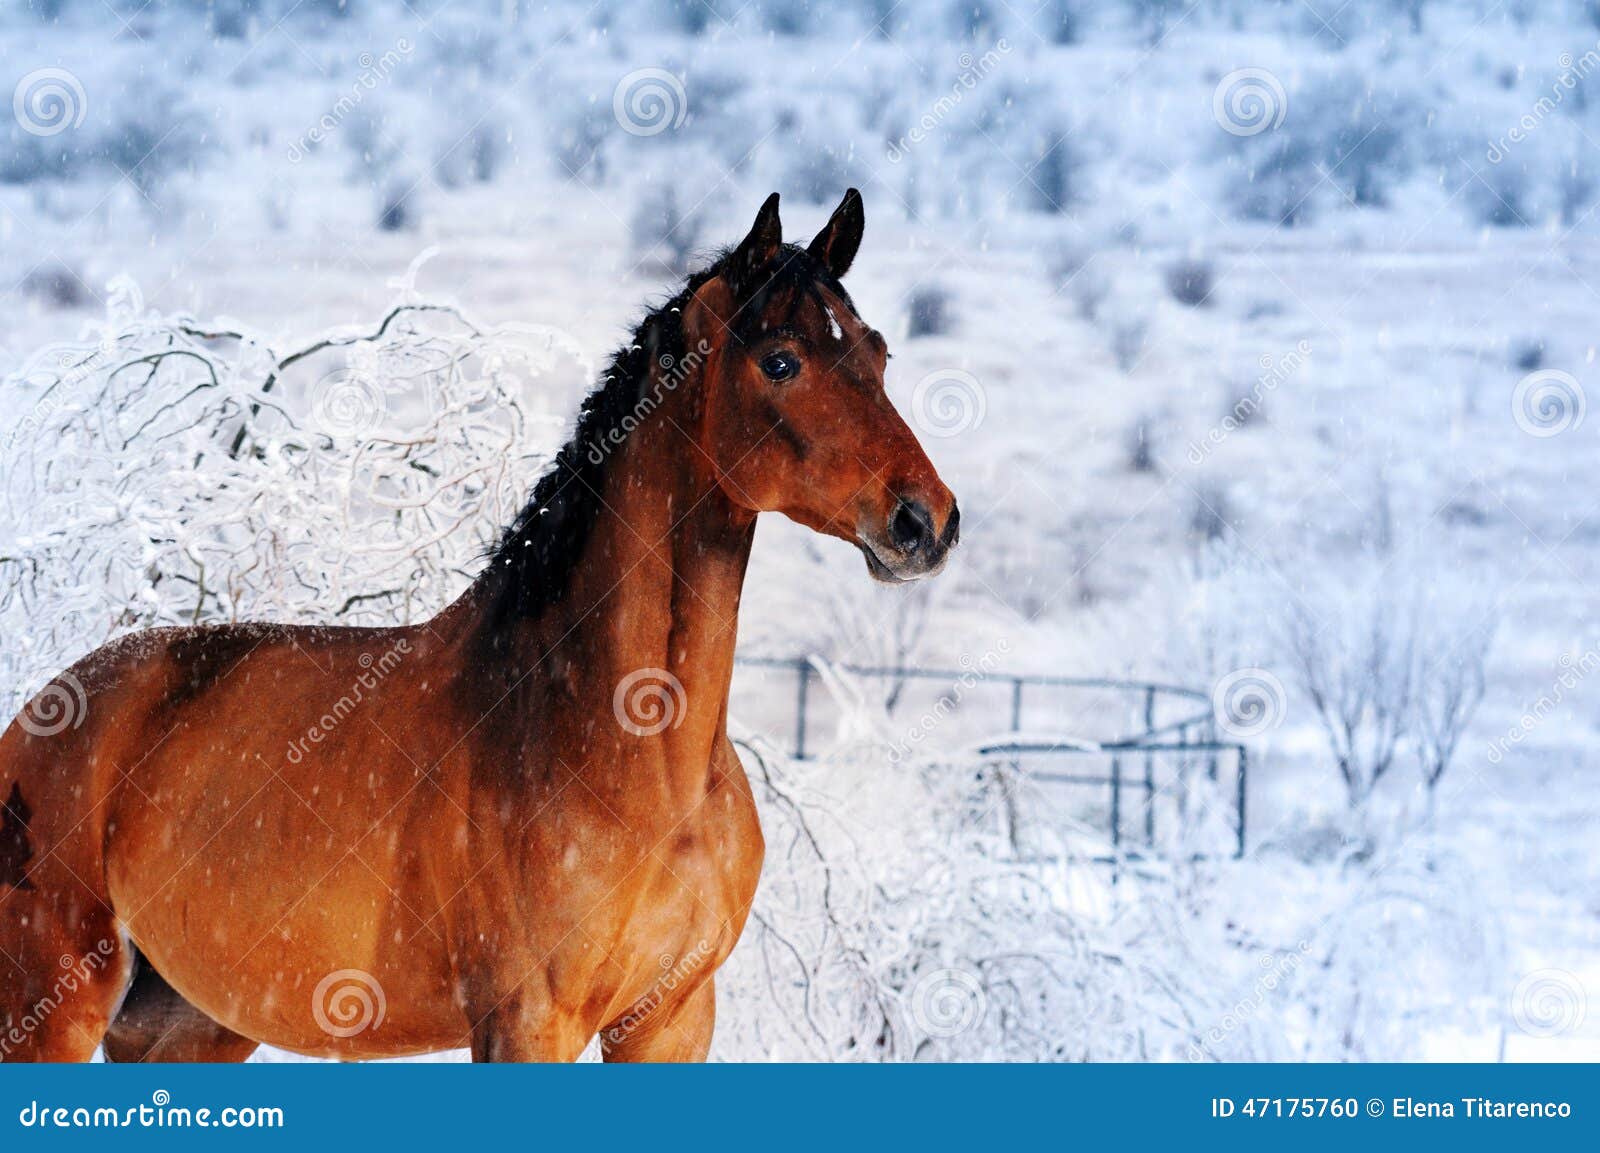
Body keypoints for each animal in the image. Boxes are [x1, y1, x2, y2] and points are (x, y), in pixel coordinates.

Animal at [0, 190, 959, 1062]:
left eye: (877, 351)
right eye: (782, 360)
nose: (926, 521)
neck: (638, 757)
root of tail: (48, 710)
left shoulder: (671, 1020)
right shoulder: (529, 1021)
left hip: (191, 1024)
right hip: (52, 1010)